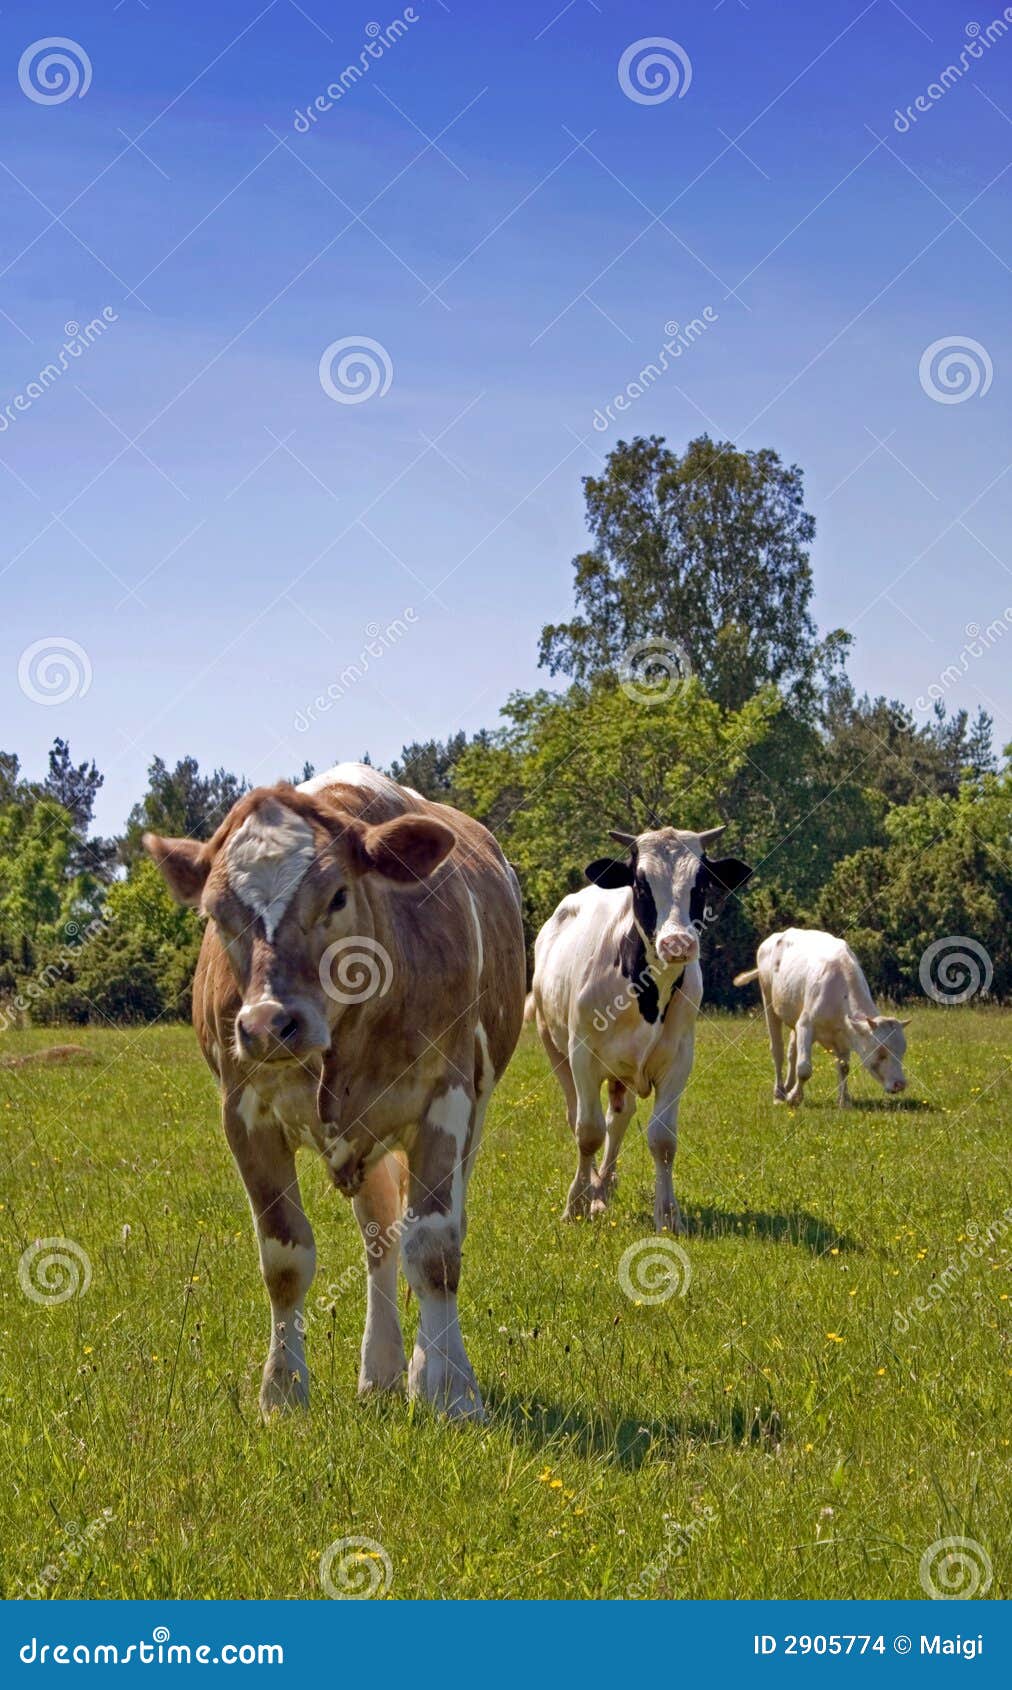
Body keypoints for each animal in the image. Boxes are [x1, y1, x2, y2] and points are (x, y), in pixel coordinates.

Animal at [144, 762, 525, 1421]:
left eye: (338, 896)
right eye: (216, 913)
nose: (268, 1023)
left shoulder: (446, 1099)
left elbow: (435, 1250)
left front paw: (450, 1392)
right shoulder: (244, 1115)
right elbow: (285, 1258)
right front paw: (283, 1391)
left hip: (469, 1118)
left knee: (428, 1230)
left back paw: (421, 1368)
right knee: (380, 1238)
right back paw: (381, 1370)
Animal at [529, 825, 752, 1233]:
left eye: (701, 884)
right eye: (641, 885)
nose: (677, 943)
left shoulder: (679, 1060)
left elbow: (662, 1140)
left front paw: (668, 1215)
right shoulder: (582, 1055)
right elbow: (588, 1132)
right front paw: (576, 1204)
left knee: (618, 1118)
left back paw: (604, 1188)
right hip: (553, 1044)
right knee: (579, 1116)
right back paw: (592, 1189)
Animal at [734, 928, 910, 1106]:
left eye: (902, 1051)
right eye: (881, 1051)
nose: (900, 1084)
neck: (840, 993)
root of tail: (777, 936)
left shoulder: (844, 1034)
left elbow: (844, 1067)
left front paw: (844, 1101)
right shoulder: (806, 1024)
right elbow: (804, 1069)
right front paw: (794, 1097)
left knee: (792, 1051)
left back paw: (788, 1086)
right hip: (768, 1001)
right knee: (778, 1050)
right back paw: (779, 1093)